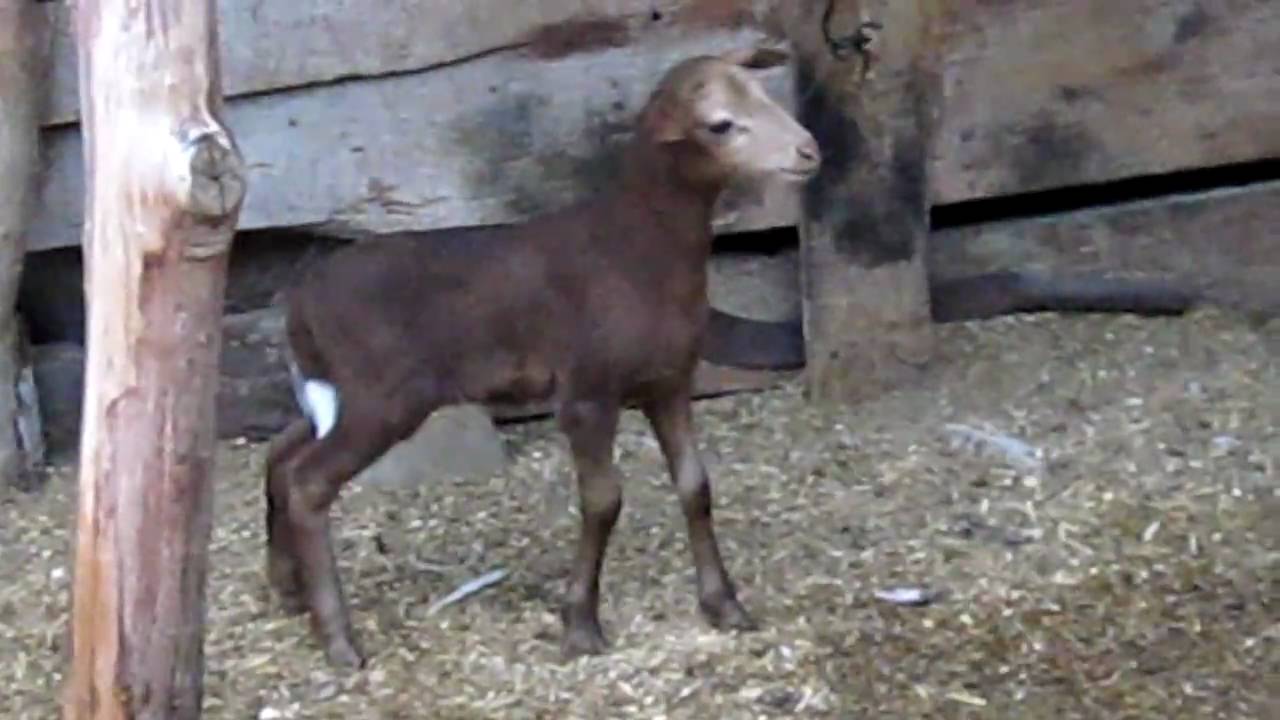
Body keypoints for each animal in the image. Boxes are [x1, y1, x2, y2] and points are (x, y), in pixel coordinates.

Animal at [264, 46, 822, 669]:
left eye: (764, 94)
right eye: (720, 124)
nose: (808, 151)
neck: (641, 248)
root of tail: (300, 301)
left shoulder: (669, 379)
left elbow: (695, 487)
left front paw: (724, 605)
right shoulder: (587, 390)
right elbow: (603, 500)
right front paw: (580, 625)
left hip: (340, 390)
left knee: (280, 456)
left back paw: (289, 590)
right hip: (382, 394)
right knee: (309, 482)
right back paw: (339, 640)